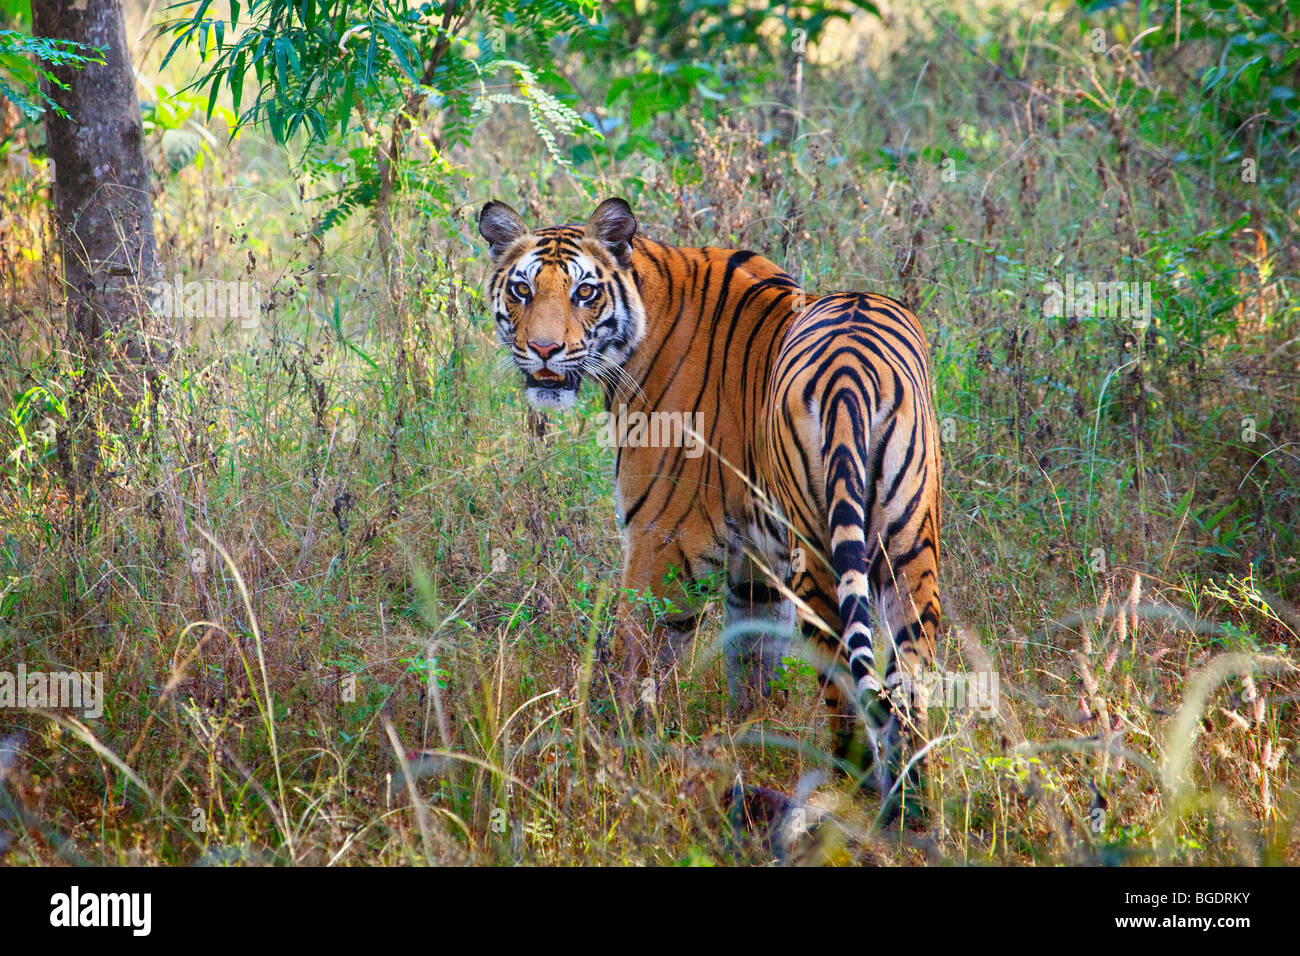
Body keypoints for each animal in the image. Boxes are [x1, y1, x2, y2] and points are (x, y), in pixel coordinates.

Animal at [478, 197, 941, 796]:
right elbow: (751, 660)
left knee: (846, 687)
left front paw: (615, 751)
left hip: (821, 556)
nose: (543, 350)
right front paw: (747, 737)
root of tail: (850, 371)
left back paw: (850, 784)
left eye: (584, 292)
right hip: (909, 547)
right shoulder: (755, 563)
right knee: (909, 688)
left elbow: (635, 654)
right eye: (522, 290)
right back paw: (911, 800)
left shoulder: (661, 540)